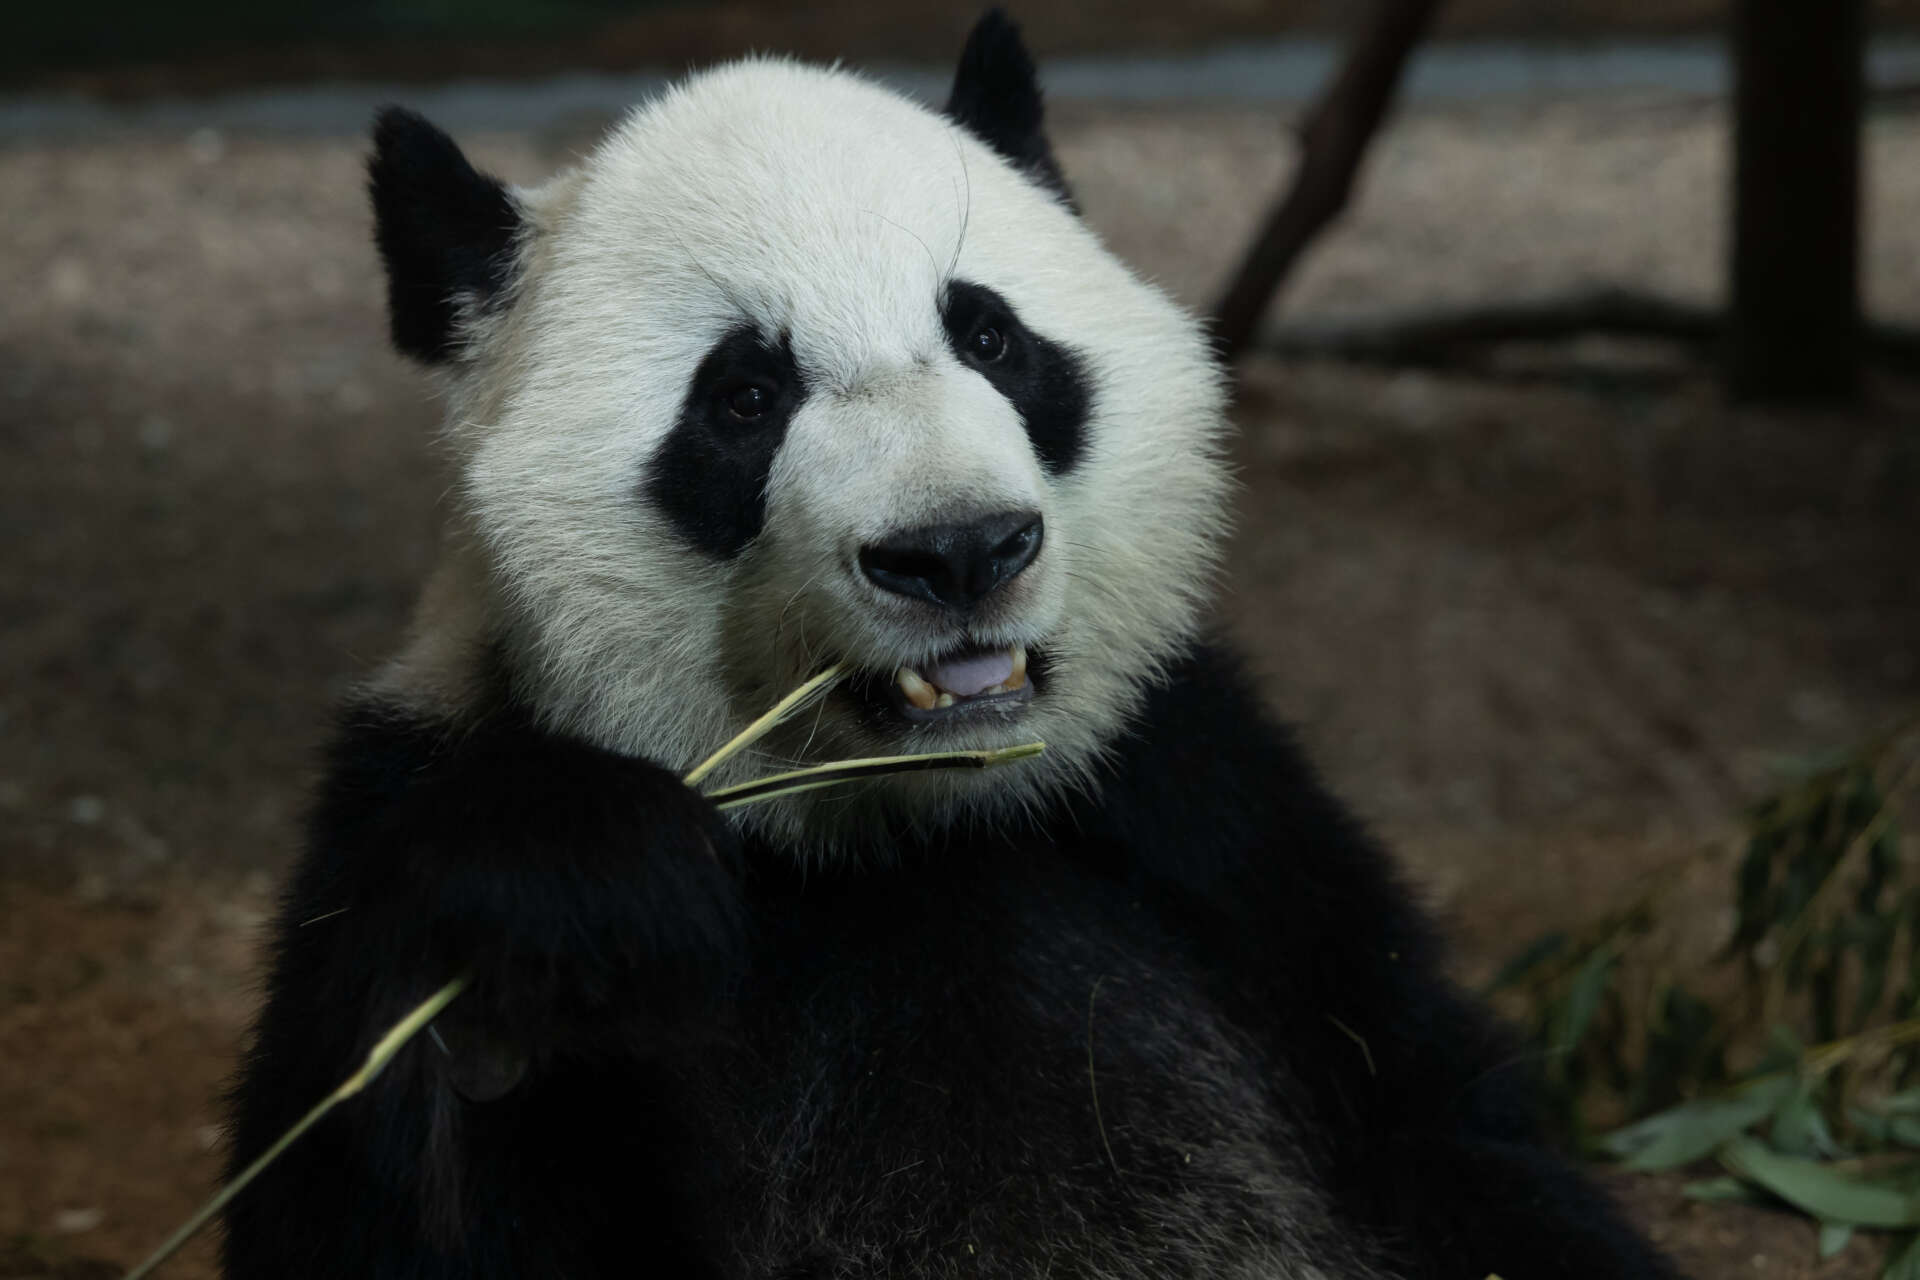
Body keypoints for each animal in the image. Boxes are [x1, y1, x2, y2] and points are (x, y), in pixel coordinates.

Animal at [224, 12, 1676, 1279]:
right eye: (743, 396)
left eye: (989, 334)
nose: (961, 549)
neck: (896, 826)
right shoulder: (404, 801)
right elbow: (372, 1202)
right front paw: (560, 935)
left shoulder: (1210, 808)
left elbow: (1444, 1131)